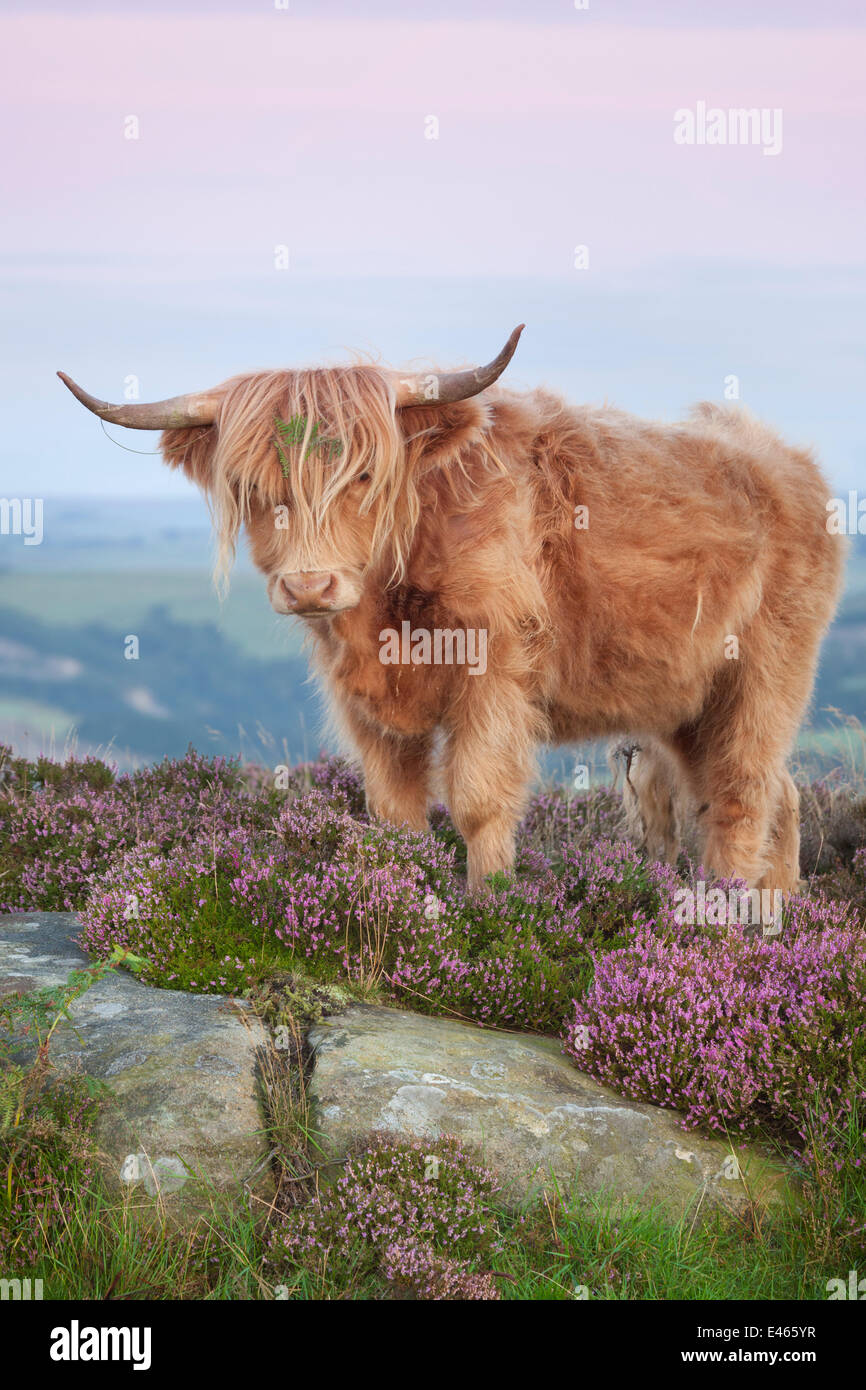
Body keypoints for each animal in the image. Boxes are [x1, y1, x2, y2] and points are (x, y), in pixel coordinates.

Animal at [58, 327, 845, 896]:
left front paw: (488, 908)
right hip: (685, 701)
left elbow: (477, 799)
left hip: (765, 674)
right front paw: (407, 902)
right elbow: (394, 810)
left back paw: (724, 925)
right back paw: (773, 921)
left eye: (364, 475)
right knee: (765, 794)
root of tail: (787, 461)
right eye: (253, 486)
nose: (309, 587)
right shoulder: (366, 703)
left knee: (741, 794)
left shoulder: (494, 673)